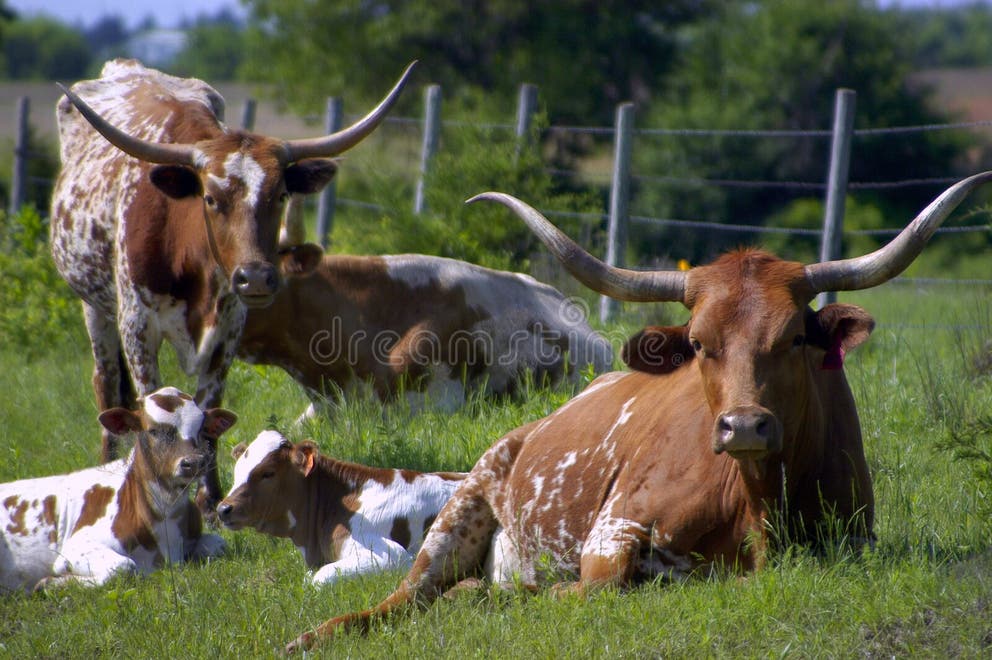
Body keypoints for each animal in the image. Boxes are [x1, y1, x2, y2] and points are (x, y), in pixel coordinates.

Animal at [0, 387, 237, 592]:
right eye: (153, 430)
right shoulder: (73, 547)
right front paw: (50, 583)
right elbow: (123, 567)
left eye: (201, 428)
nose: (194, 462)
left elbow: (219, 543)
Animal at [49, 58, 414, 511]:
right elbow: (148, 405)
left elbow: (209, 417)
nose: (254, 276)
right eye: (210, 198)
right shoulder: (137, 325)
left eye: (280, 195)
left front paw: (211, 499)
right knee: (107, 386)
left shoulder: (228, 330)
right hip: (94, 306)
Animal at [283, 172, 992, 651]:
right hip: (459, 513)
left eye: (795, 337)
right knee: (402, 600)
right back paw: (313, 635)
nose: (744, 426)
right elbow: (591, 586)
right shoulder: (612, 529)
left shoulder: (851, 543)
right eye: (699, 342)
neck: (760, 502)